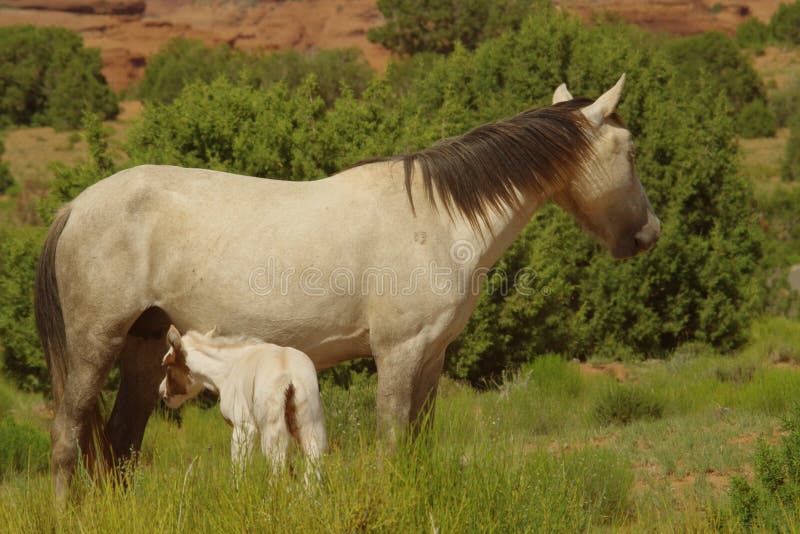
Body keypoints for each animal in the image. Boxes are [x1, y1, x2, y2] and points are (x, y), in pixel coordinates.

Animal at [159, 325, 326, 484]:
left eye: (167, 365)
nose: (161, 392)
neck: (228, 369)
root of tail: (289, 374)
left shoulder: (243, 427)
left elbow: (238, 468)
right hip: (311, 424)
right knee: (312, 468)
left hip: (271, 430)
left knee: (277, 469)